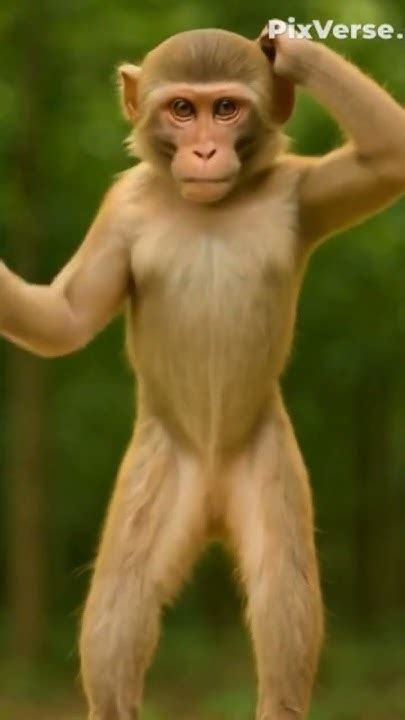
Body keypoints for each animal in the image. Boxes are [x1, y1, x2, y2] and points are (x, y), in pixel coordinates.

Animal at [1, 26, 405, 720]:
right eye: (183, 110)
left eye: (227, 108)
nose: (206, 149)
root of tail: (212, 496)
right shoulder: (122, 208)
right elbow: (67, 318)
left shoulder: (298, 191)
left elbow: (389, 156)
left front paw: (289, 48)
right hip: (163, 468)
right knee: (121, 607)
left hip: (266, 461)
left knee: (282, 594)